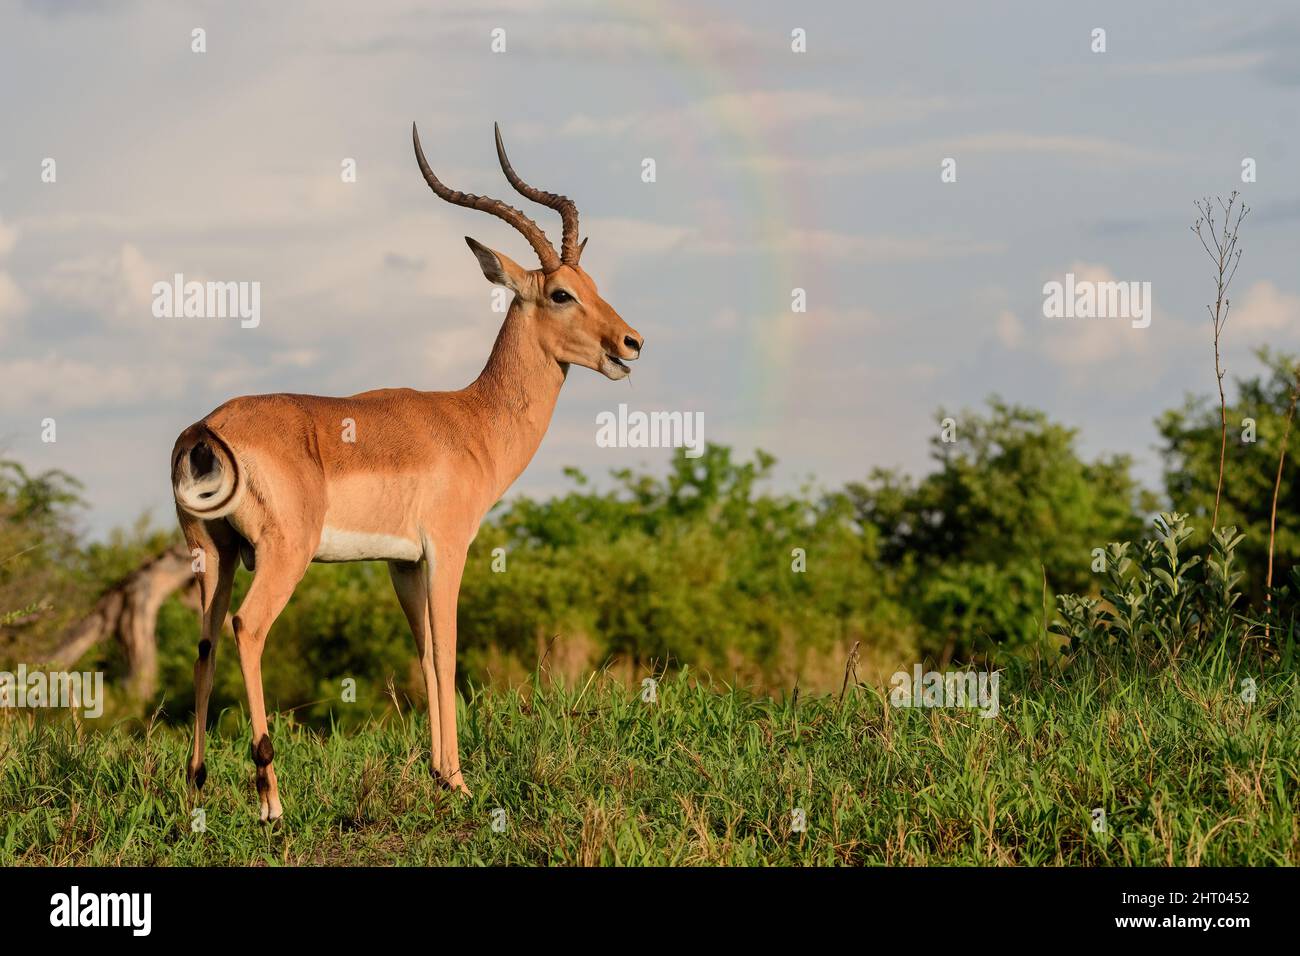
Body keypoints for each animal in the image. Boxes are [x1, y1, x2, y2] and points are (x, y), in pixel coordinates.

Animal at [170, 123, 643, 821]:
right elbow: (446, 649)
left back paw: (196, 788)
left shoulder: (402, 562)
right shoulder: (447, 547)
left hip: (214, 555)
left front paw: (441, 774)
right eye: (562, 293)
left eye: (592, 281)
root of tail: (207, 428)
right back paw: (270, 800)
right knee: (246, 629)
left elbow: (422, 652)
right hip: (282, 556)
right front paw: (461, 780)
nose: (631, 342)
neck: (470, 422)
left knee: (204, 639)